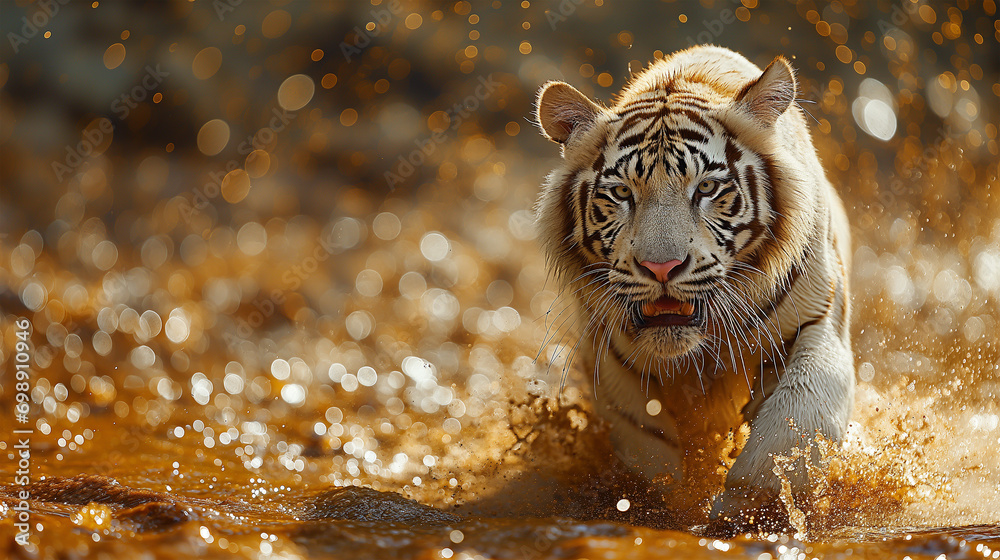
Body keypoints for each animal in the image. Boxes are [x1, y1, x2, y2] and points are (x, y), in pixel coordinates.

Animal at [533, 45, 854, 527]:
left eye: (705, 188)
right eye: (622, 193)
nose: (661, 267)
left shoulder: (816, 319)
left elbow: (794, 423)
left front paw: (745, 510)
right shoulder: (615, 360)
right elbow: (650, 448)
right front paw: (672, 509)